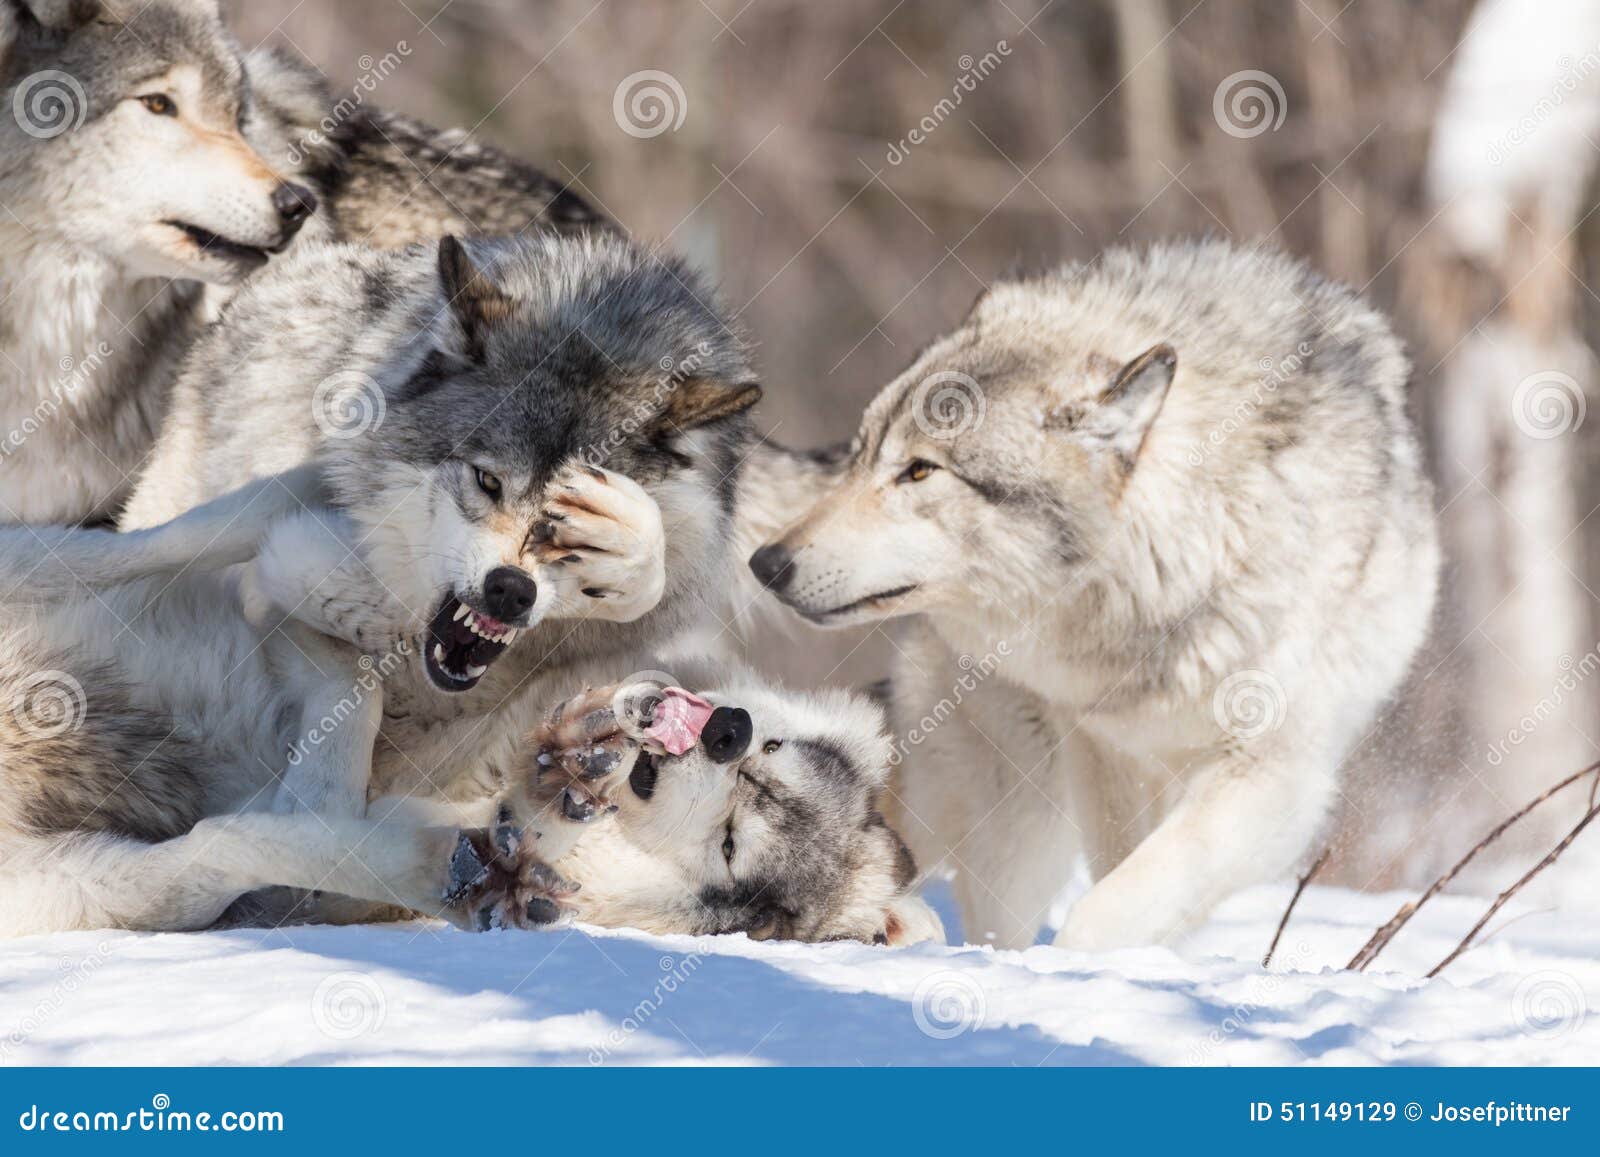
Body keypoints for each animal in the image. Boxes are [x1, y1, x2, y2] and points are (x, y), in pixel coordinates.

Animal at [750, 239, 1441, 951]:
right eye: (861, 455)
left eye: (920, 470)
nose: (767, 564)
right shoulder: (1104, 749)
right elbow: (1116, 877)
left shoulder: (1272, 775)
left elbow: (1115, 902)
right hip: (1022, 802)